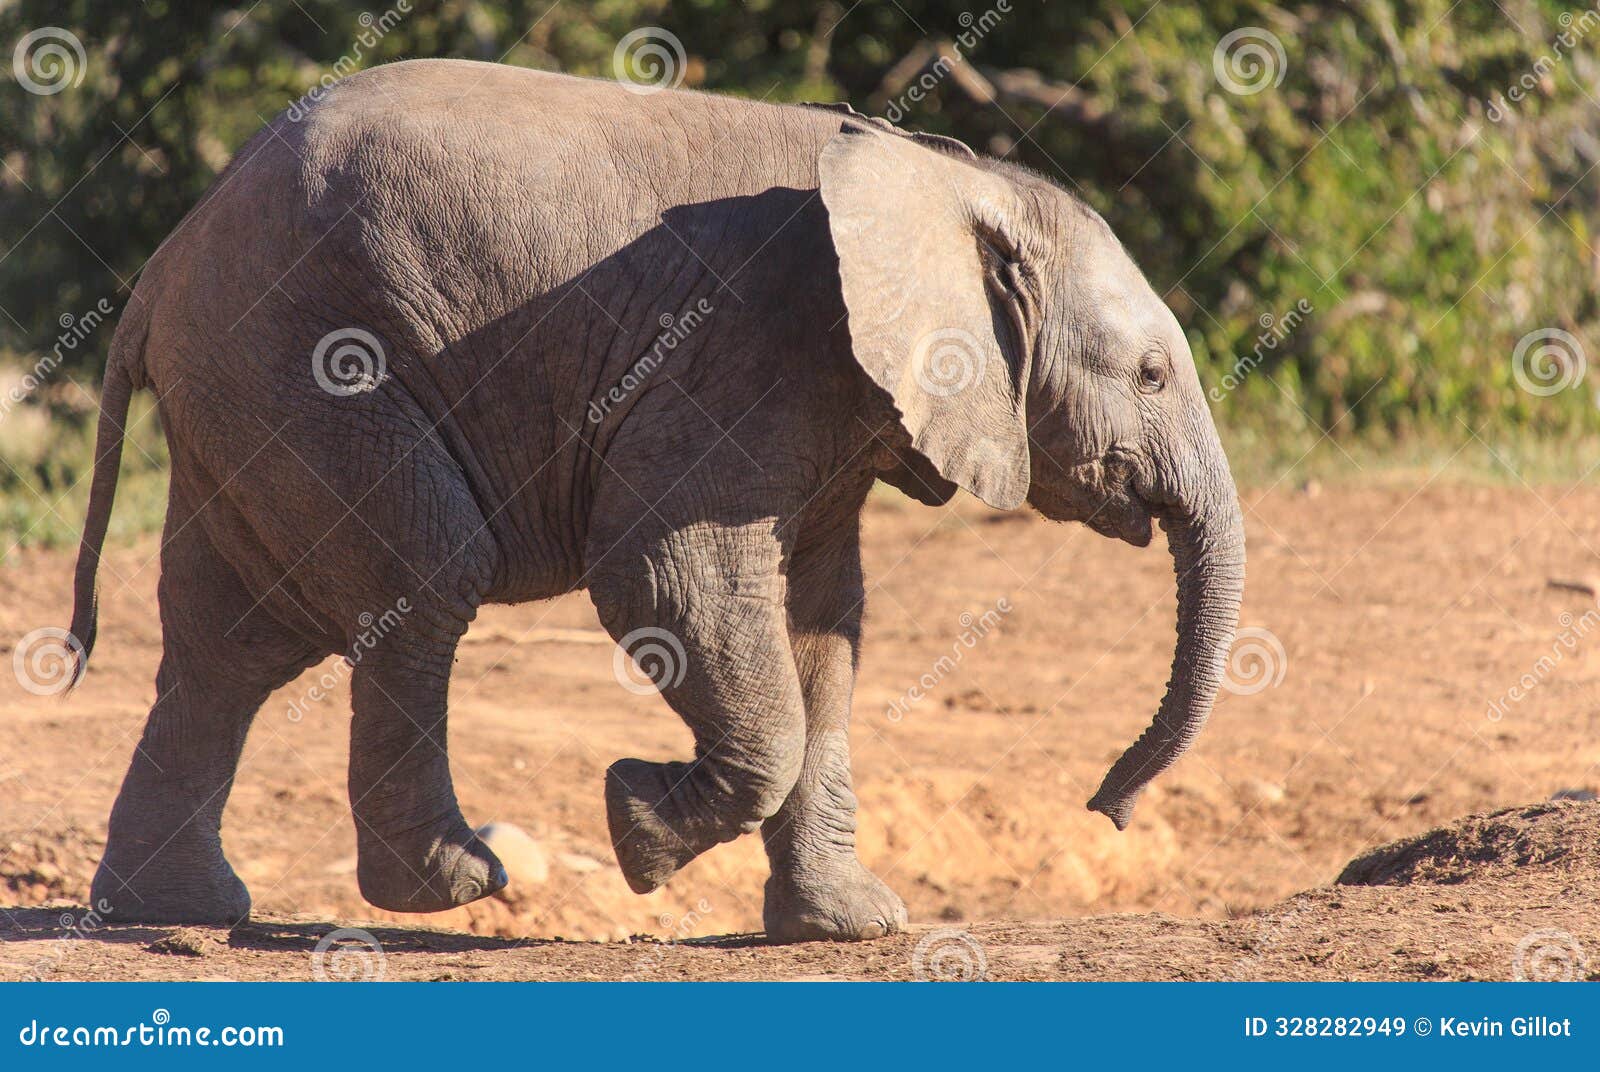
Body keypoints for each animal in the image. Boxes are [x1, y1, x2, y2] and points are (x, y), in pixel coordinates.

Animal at [65, 59, 1244, 942]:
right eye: (1149, 375)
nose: (1106, 808)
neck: (949, 181)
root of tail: (164, 265)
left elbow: (821, 625)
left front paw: (851, 926)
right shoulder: (746, 350)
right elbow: (664, 577)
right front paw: (635, 827)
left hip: (247, 395)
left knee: (230, 645)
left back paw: (176, 913)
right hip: (313, 370)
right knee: (425, 578)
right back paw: (455, 886)